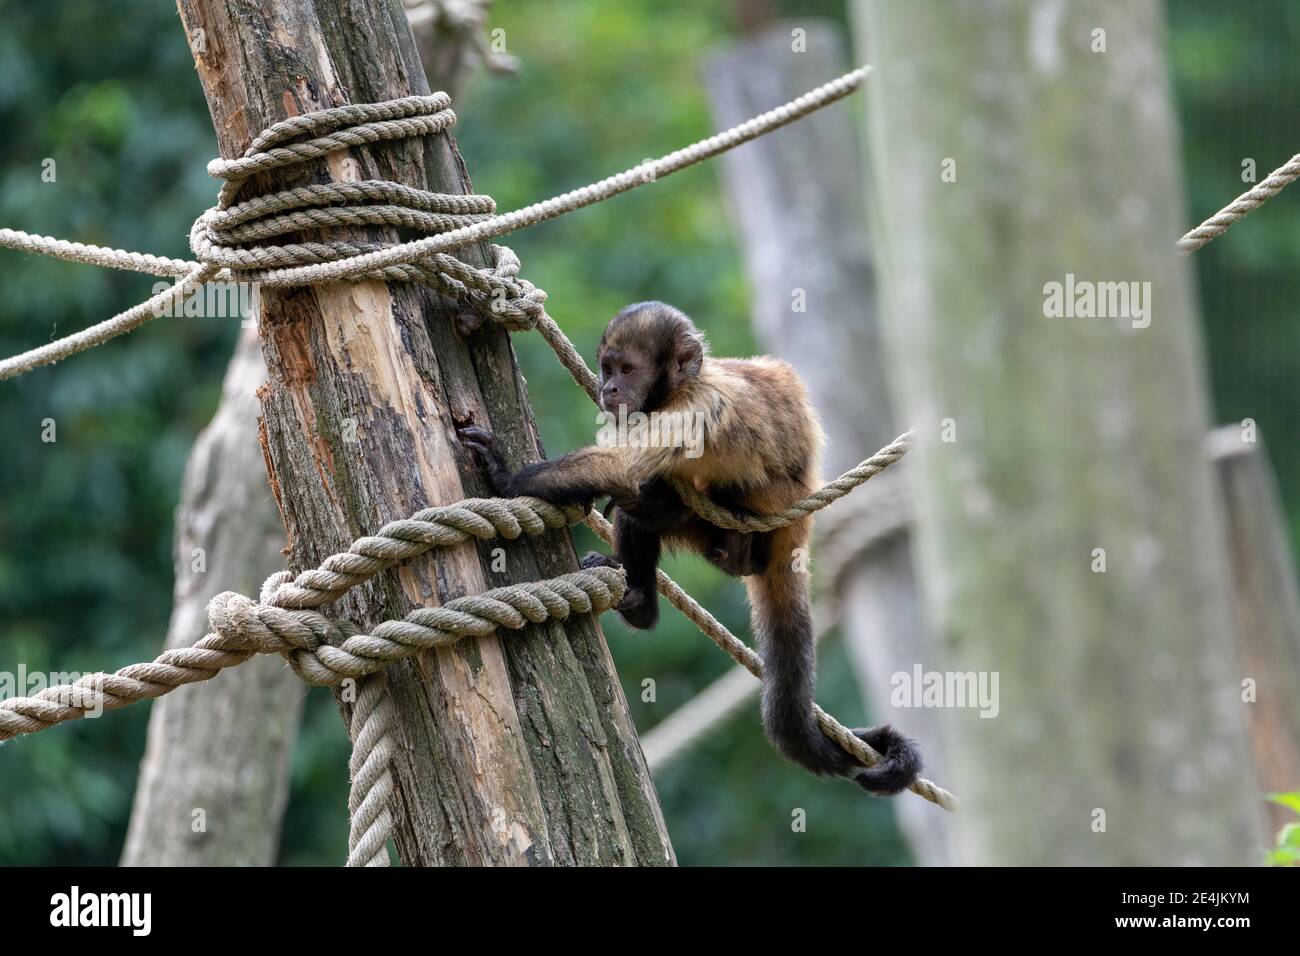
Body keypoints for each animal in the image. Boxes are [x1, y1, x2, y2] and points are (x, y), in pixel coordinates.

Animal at [458, 301, 920, 795]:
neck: (680, 386)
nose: (608, 388)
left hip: (761, 507)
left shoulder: (698, 407)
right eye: (607, 368)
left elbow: (621, 467)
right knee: (639, 510)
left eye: (627, 369)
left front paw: (504, 474)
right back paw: (642, 600)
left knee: (654, 492)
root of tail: (799, 518)